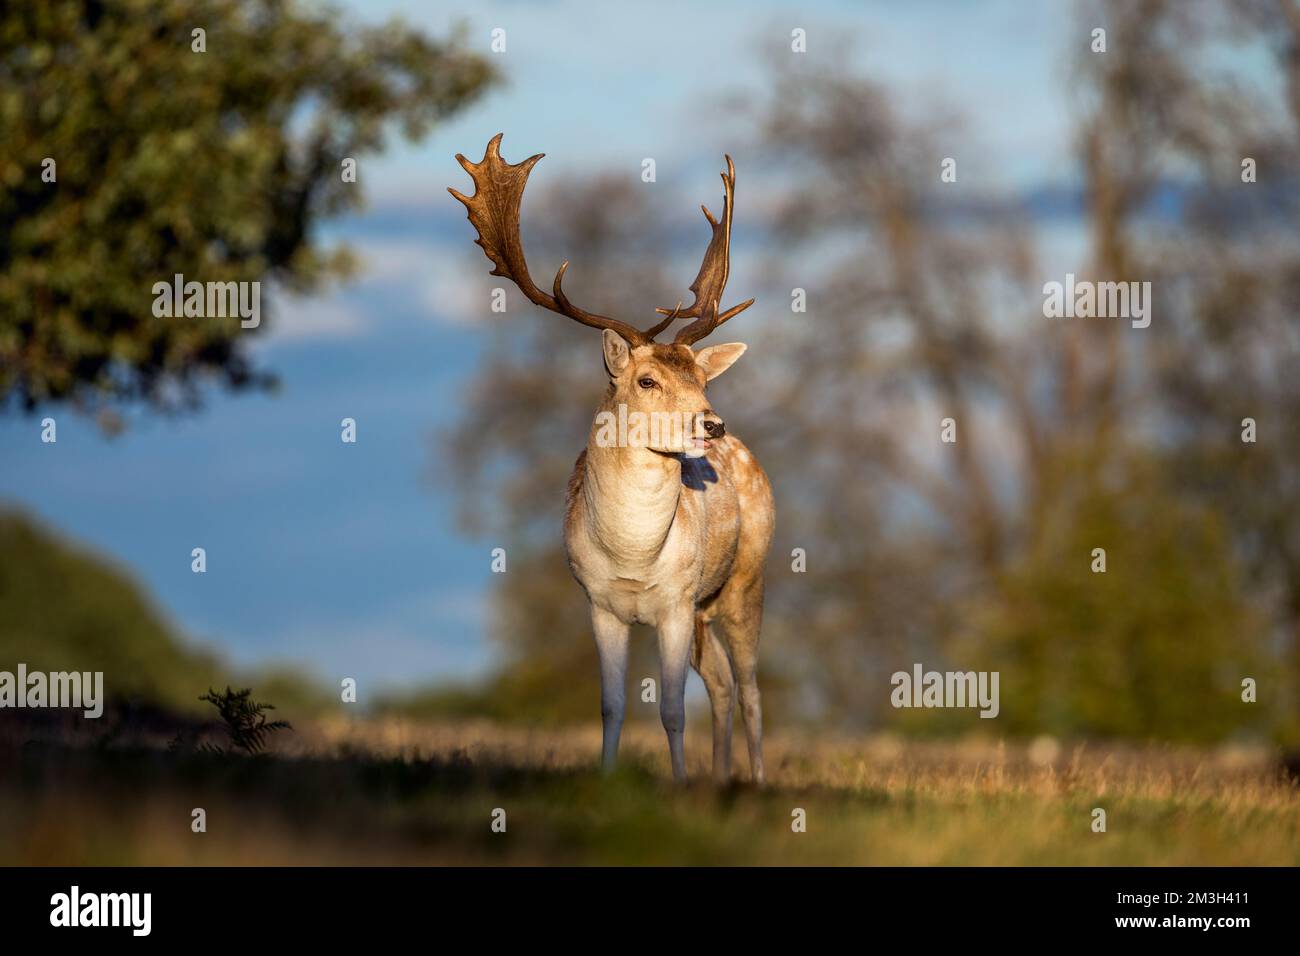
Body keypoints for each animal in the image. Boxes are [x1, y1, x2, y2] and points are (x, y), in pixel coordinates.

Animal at [450, 134, 774, 784]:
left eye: (701, 377)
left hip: (745, 579)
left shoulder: (675, 602)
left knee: (751, 688)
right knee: (724, 685)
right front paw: (607, 781)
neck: (632, 559)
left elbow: (672, 709)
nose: (712, 424)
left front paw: (678, 786)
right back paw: (723, 779)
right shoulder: (599, 603)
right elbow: (611, 704)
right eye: (647, 380)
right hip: (705, 610)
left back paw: (755, 781)